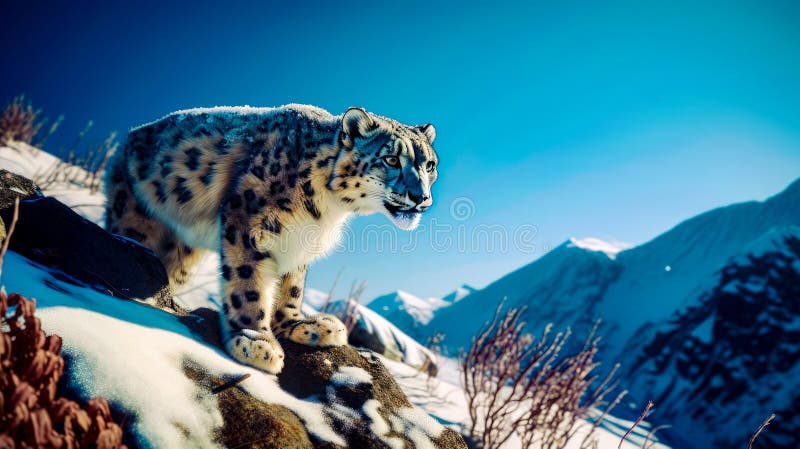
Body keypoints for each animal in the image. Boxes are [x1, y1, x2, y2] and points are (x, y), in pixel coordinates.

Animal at [103, 104, 438, 373]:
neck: (327, 211)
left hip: (182, 253)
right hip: (135, 216)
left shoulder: (298, 242)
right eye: (391, 160)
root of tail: (130, 136)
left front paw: (300, 325)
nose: (420, 197)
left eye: (429, 164)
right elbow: (247, 284)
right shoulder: (248, 223)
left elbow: (292, 287)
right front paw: (255, 341)